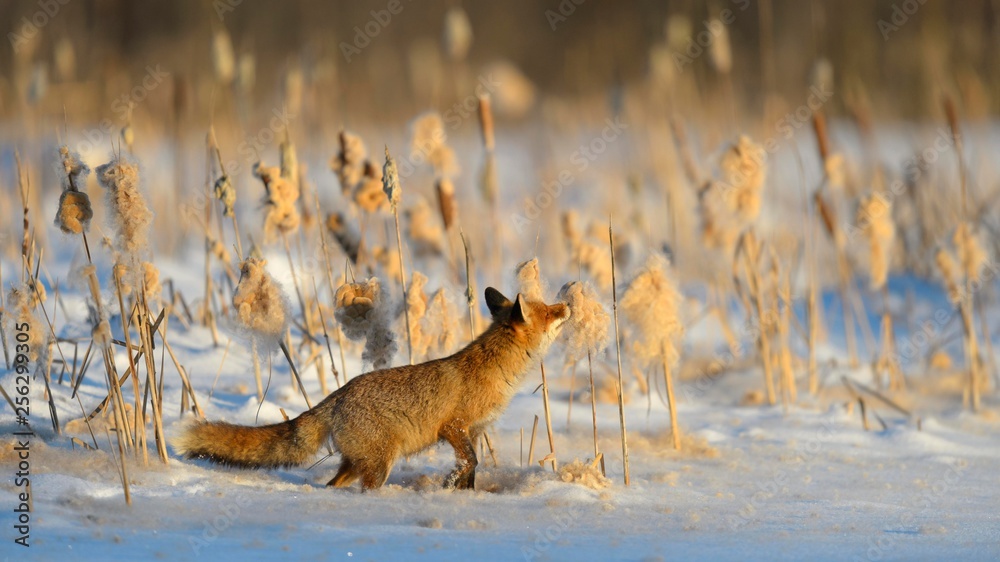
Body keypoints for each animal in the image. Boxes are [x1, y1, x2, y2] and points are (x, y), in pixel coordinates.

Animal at [174, 287, 570, 491]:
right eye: (549, 312)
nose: (568, 303)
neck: (493, 371)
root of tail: (337, 395)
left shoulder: (473, 431)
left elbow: (472, 469)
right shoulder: (454, 427)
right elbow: (470, 462)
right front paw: (449, 484)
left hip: (356, 463)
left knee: (334, 484)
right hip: (380, 464)